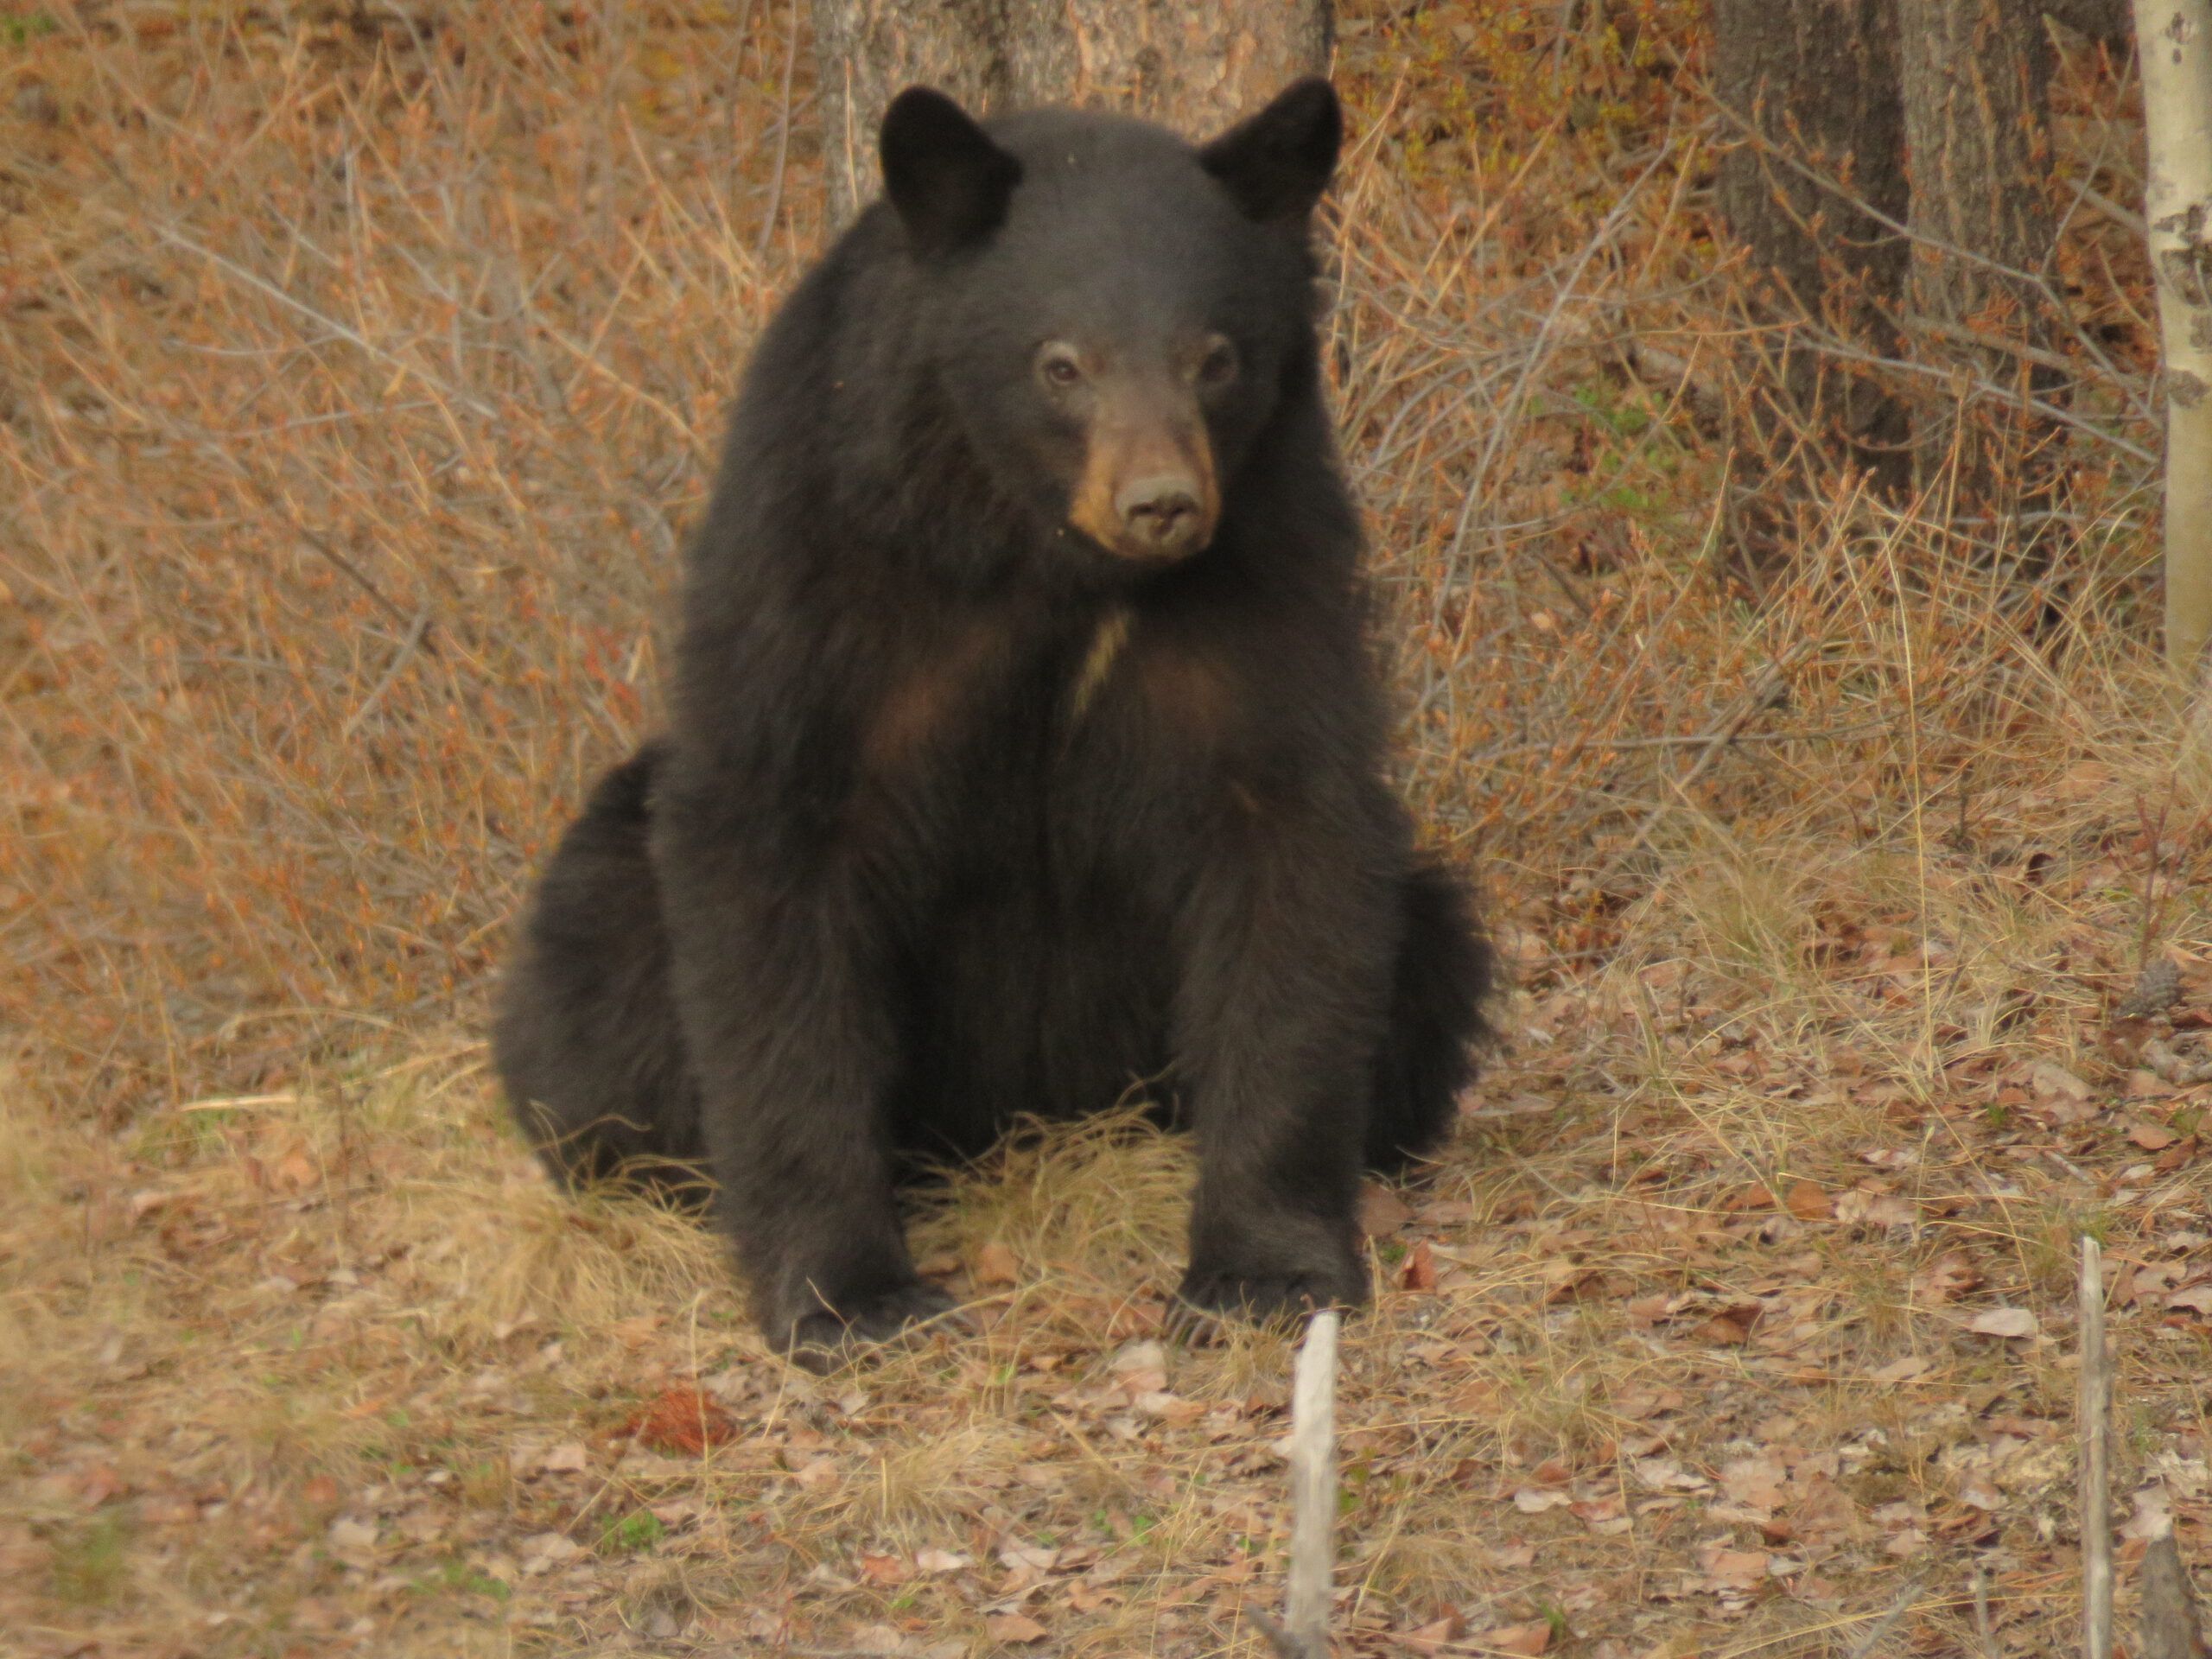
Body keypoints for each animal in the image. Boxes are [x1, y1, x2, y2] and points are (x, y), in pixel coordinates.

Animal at [493, 78, 1495, 1361]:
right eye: (1061, 364)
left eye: (1216, 358)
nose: (1162, 504)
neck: (1037, 548)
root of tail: (1031, 1113)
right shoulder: (826, 561)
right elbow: (775, 841)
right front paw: (848, 1294)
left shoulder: (1267, 558)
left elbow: (1289, 834)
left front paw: (1262, 1269)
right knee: (604, 951)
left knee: (1428, 936)